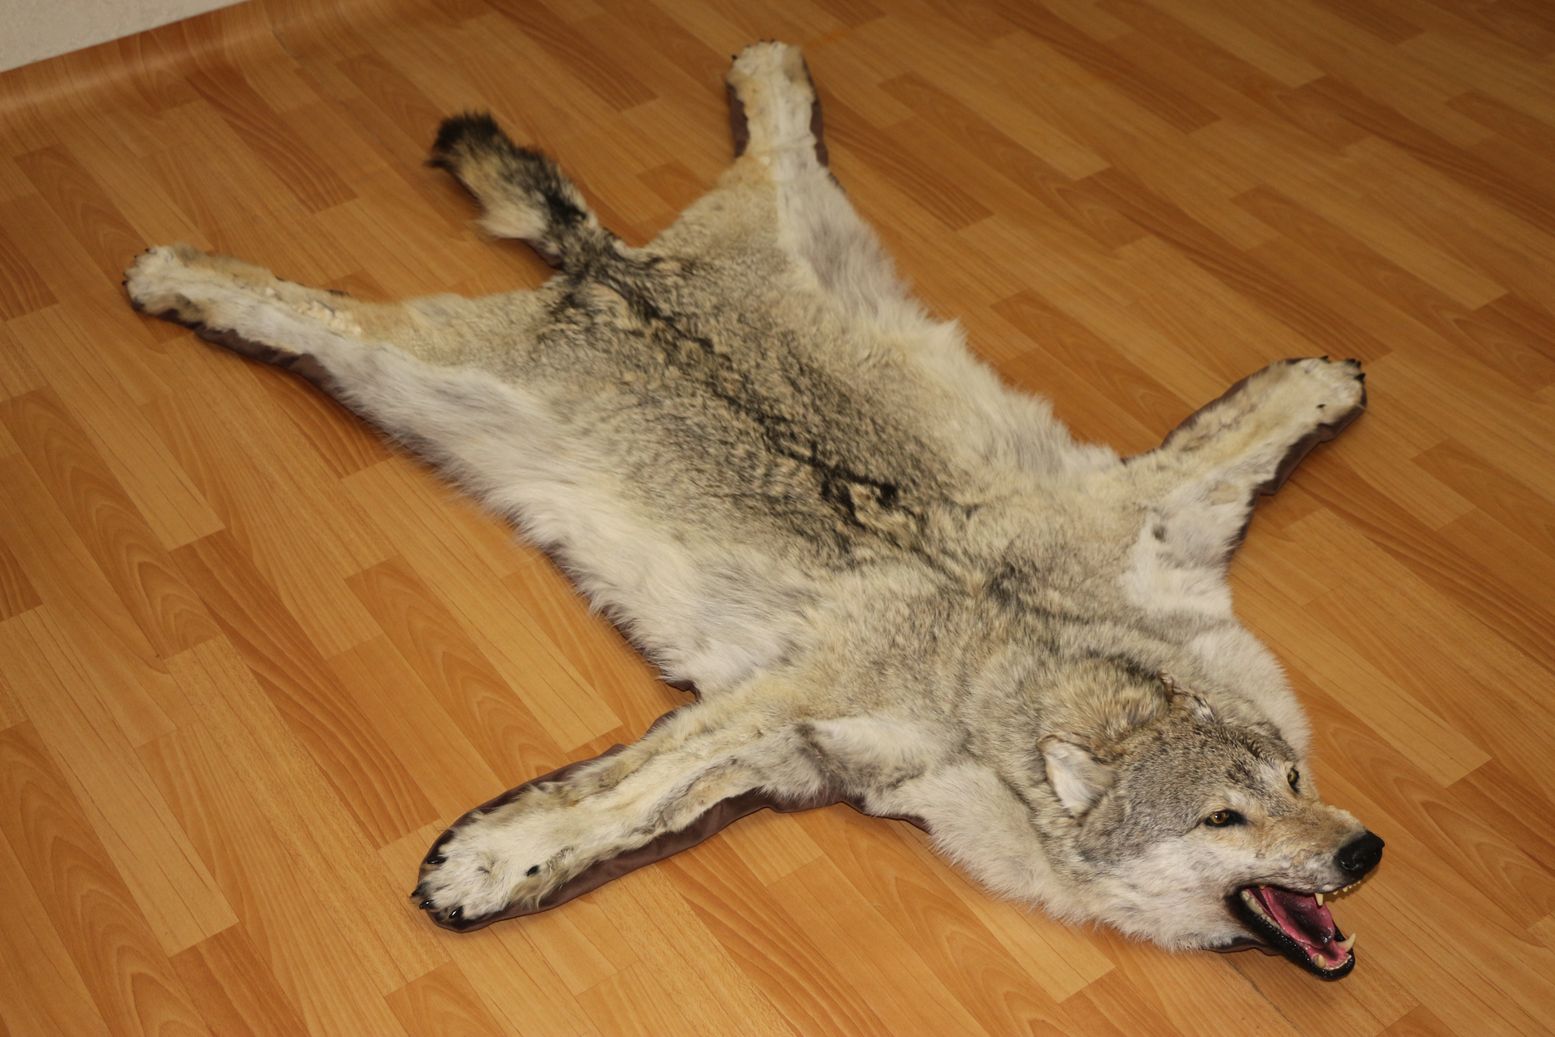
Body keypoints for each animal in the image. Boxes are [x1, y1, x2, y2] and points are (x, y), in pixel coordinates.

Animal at [124, 42, 1384, 978]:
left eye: (1288, 780)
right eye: (1219, 819)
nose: (1365, 849)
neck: (1023, 648)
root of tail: (608, 270)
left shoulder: (1128, 522)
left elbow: (1230, 434)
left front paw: (1318, 383)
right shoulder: (790, 694)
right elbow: (616, 792)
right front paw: (489, 860)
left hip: (795, 222)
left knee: (778, 141)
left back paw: (769, 66)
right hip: (409, 370)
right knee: (298, 306)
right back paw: (170, 275)